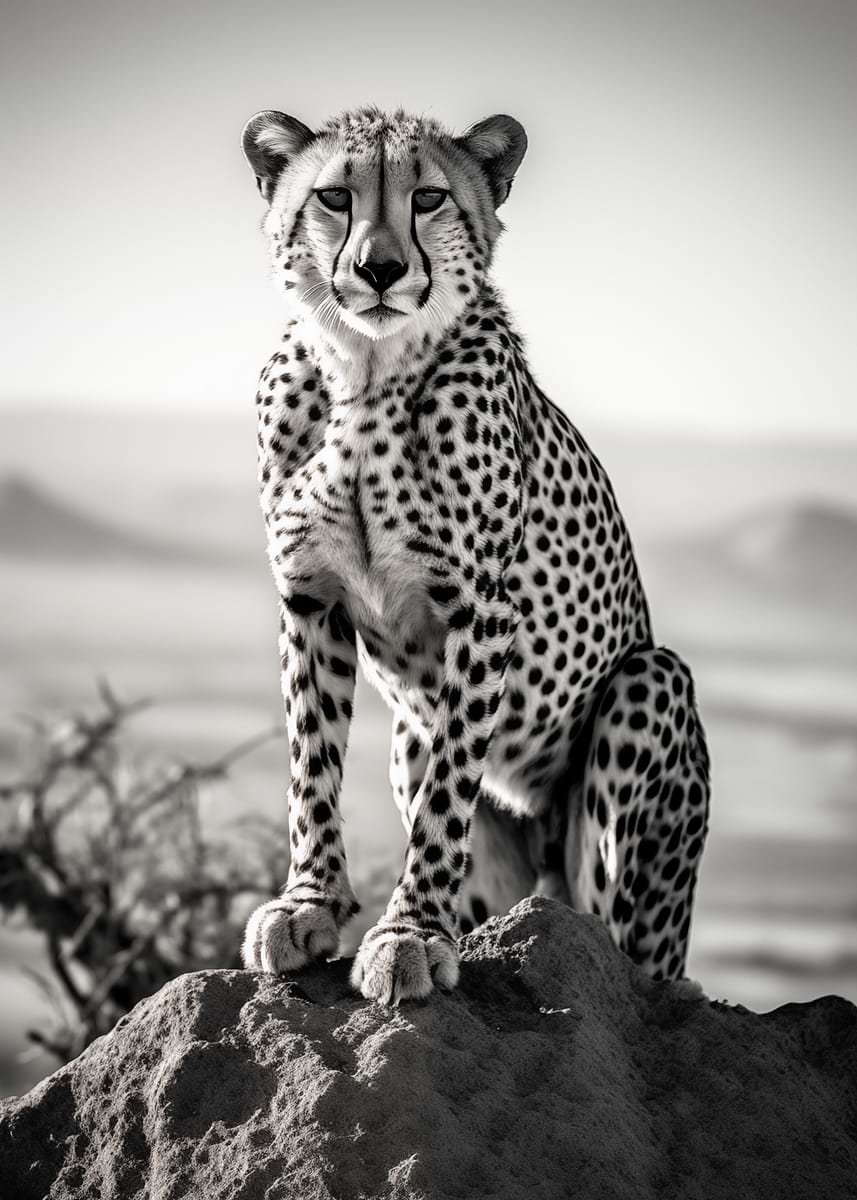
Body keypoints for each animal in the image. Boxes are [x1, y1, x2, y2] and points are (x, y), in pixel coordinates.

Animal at [239, 106, 711, 1004]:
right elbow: (310, 763)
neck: (365, 374)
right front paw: (307, 905)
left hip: (648, 685)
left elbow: (449, 788)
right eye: (333, 198)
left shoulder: (479, 610)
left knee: (616, 936)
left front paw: (411, 933)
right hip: (405, 740)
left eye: (427, 198)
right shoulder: (309, 596)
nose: (380, 268)